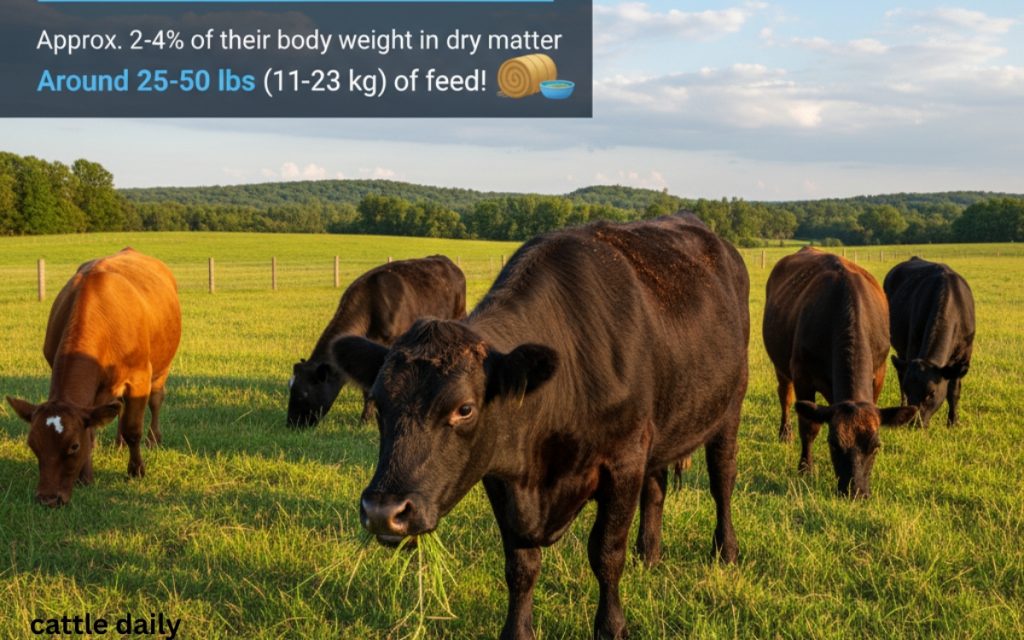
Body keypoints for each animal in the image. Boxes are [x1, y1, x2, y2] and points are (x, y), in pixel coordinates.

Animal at [5, 248, 181, 506]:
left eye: (73, 446)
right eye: (33, 445)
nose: (48, 499)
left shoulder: (139, 377)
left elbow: (132, 429)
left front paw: (136, 470)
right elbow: (91, 428)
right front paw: (85, 477)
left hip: (162, 366)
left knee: (155, 401)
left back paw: (153, 439)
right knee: (119, 407)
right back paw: (118, 444)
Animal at [332, 214, 749, 640]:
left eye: (464, 409)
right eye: (379, 404)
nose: (383, 511)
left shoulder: (624, 460)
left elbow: (606, 552)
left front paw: (612, 626)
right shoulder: (500, 476)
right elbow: (521, 565)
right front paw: (517, 630)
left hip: (729, 408)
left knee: (722, 480)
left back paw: (726, 550)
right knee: (657, 487)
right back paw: (649, 553)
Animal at [763, 247, 917, 499]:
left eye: (876, 446)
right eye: (833, 444)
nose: (856, 491)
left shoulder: (880, 372)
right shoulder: (802, 375)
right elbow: (809, 426)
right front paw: (805, 468)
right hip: (781, 365)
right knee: (785, 395)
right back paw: (785, 433)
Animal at [884, 257, 975, 427]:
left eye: (931, 393)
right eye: (909, 389)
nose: (914, 423)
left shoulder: (963, 358)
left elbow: (953, 392)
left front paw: (952, 422)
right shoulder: (912, 348)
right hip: (900, 350)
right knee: (900, 373)